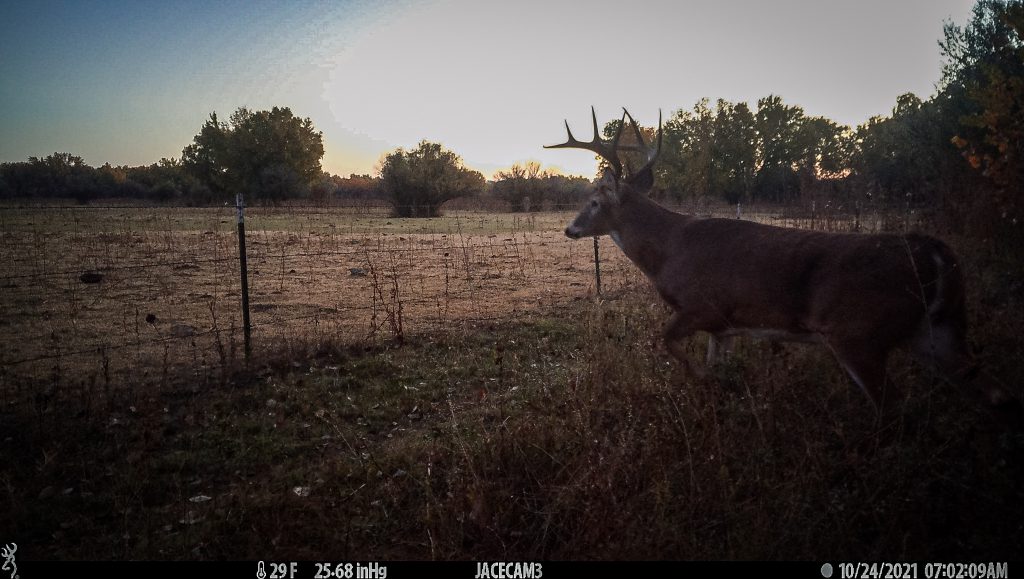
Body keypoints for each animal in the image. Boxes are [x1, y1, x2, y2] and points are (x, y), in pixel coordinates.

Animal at [548, 107, 1019, 425]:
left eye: (594, 201)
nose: (570, 228)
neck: (667, 250)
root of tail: (935, 251)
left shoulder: (703, 305)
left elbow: (666, 342)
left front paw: (706, 381)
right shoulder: (724, 327)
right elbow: (713, 362)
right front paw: (720, 390)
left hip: (858, 332)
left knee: (892, 406)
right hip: (935, 330)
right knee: (994, 391)